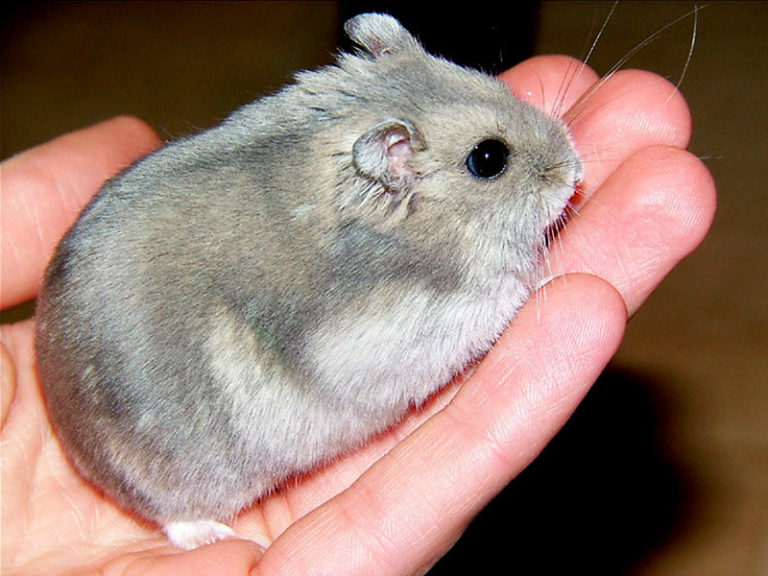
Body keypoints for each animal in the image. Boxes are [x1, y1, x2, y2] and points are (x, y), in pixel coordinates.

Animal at [35, 13, 583, 550]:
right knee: (175, 517)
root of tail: (74, 445)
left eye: (491, 80)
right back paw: (216, 536)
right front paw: (540, 276)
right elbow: (505, 292)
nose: (577, 170)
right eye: (488, 158)